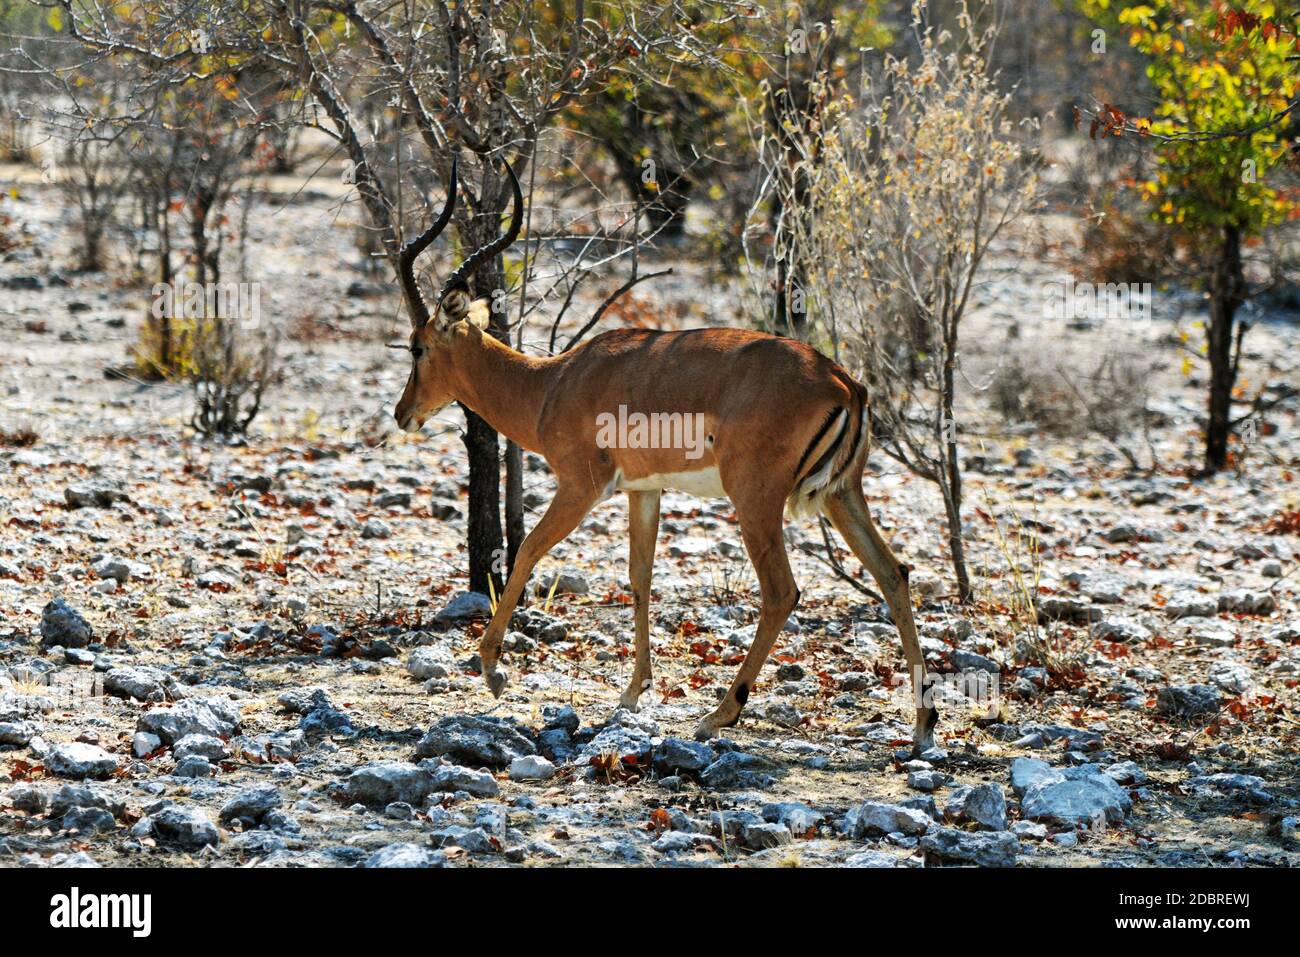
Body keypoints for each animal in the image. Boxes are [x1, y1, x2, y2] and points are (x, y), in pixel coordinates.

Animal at [392, 159, 938, 753]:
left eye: (417, 346)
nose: (402, 413)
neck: (552, 384)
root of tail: (844, 382)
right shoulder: (645, 490)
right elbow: (640, 576)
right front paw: (632, 692)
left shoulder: (581, 487)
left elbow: (528, 551)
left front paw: (493, 671)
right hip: (842, 495)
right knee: (894, 573)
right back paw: (922, 726)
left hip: (755, 500)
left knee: (782, 592)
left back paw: (719, 715)